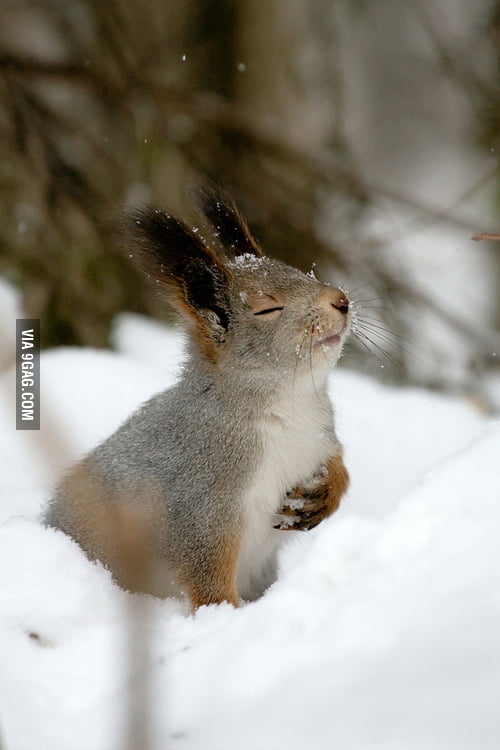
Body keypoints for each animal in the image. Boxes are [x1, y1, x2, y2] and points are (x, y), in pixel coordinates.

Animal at [44, 187, 351, 609]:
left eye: (302, 272)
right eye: (267, 308)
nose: (342, 300)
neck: (290, 403)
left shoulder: (320, 437)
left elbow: (339, 466)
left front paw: (325, 493)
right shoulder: (202, 500)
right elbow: (207, 573)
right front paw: (225, 615)